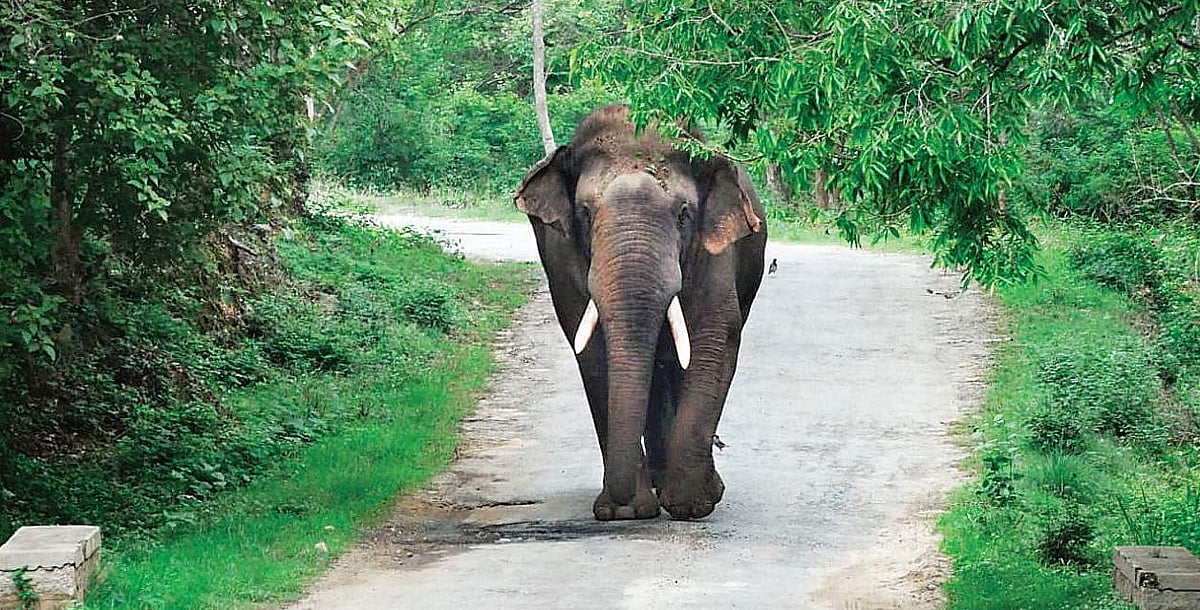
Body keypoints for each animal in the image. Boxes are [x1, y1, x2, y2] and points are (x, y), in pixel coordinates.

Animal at [514, 105, 767, 521]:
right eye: (585, 213)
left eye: (684, 215)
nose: (619, 503)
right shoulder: (561, 257)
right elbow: (593, 351)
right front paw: (626, 512)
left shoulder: (715, 252)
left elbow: (712, 339)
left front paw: (692, 505)